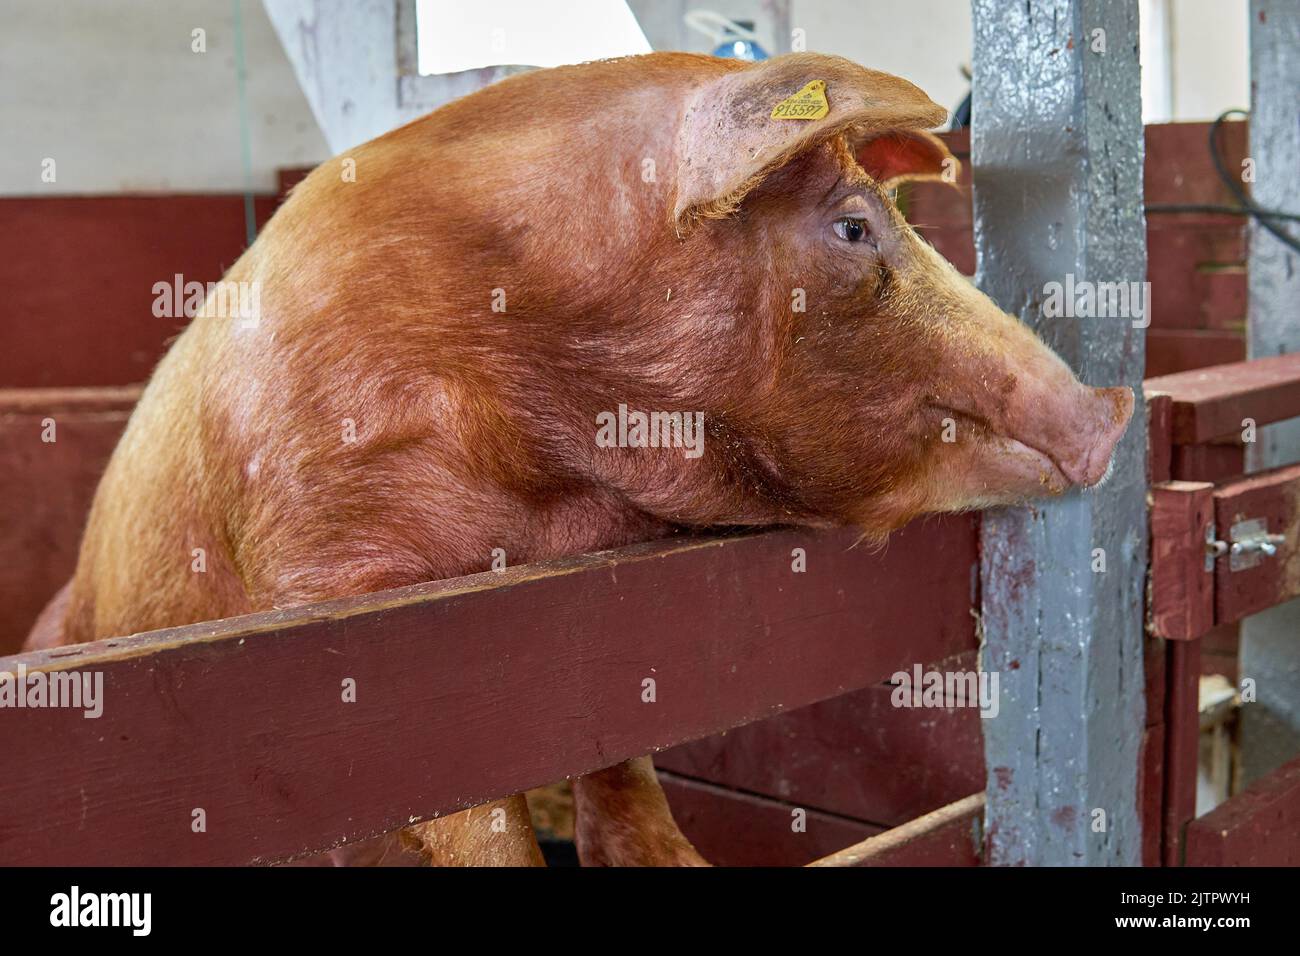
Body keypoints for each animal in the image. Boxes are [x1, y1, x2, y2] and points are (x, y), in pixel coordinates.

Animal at [27, 51, 1133, 866]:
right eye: (856, 228)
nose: (1114, 407)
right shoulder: (328, 584)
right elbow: (470, 816)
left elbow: (619, 759)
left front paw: (672, 858)